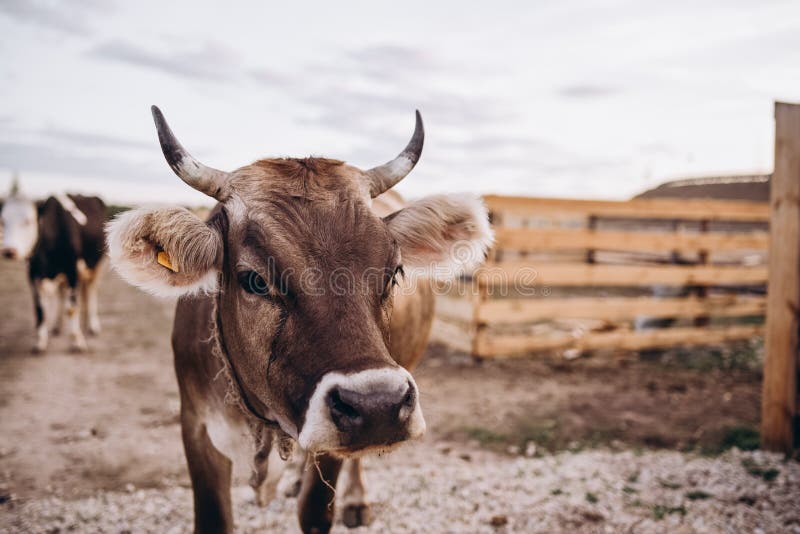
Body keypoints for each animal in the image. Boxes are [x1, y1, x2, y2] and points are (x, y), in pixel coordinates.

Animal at [1, 181, 105, 353]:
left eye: (28, 221)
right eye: (2, 221)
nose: (9, 251)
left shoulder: (72, 270)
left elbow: (71, 308)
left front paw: (77, 341)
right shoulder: (33, 273)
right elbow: (40, 309)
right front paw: (41, 342)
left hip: (96, 265)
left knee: (91, 291)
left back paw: (92, 325)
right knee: (62, 294)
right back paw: (57, 326)